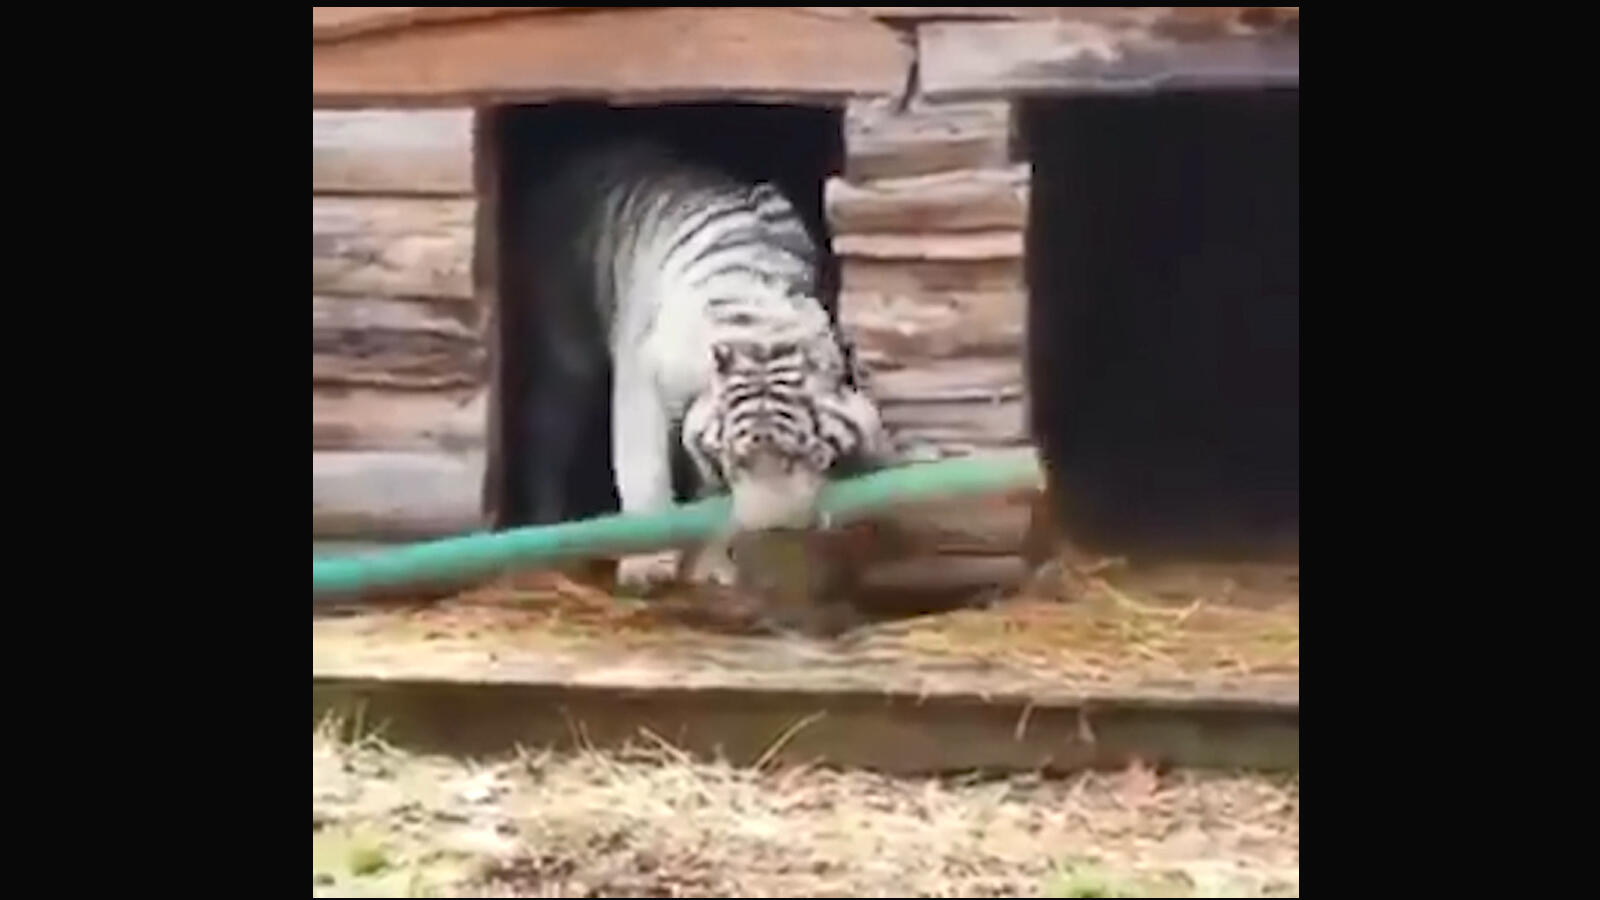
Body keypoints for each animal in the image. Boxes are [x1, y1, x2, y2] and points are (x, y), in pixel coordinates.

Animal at [516, 139, 892, 592]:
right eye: (738, 461)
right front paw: (645, 565)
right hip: (568, 349)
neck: (761, 333)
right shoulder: (644, 375)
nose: (773, 531)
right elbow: (644, 470)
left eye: (807, 457)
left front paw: (711, 566)